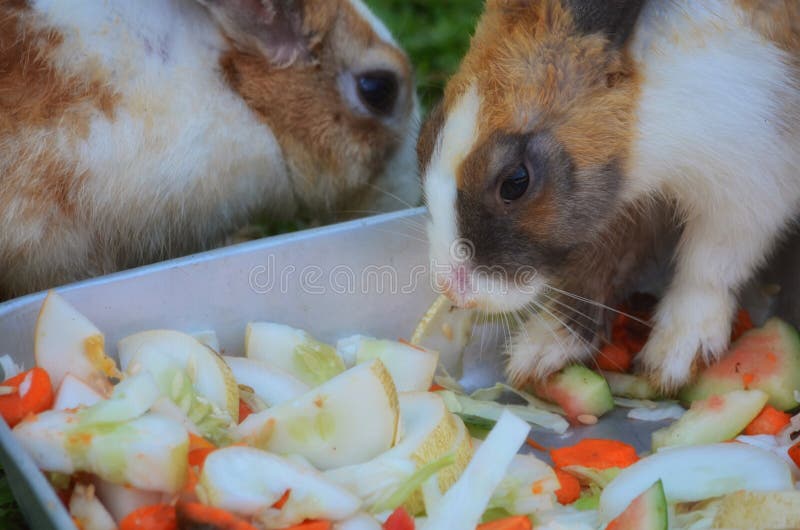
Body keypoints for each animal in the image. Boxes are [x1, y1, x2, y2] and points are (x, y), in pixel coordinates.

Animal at [418, 0, 800, 393]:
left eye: (515, 182)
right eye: (424, 136)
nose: (451, 289)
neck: (645, 120)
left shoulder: (750, 189)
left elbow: (708, 268)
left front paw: (675, 355)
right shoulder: (623, 213)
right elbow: (599, 269)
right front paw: (544, 345)